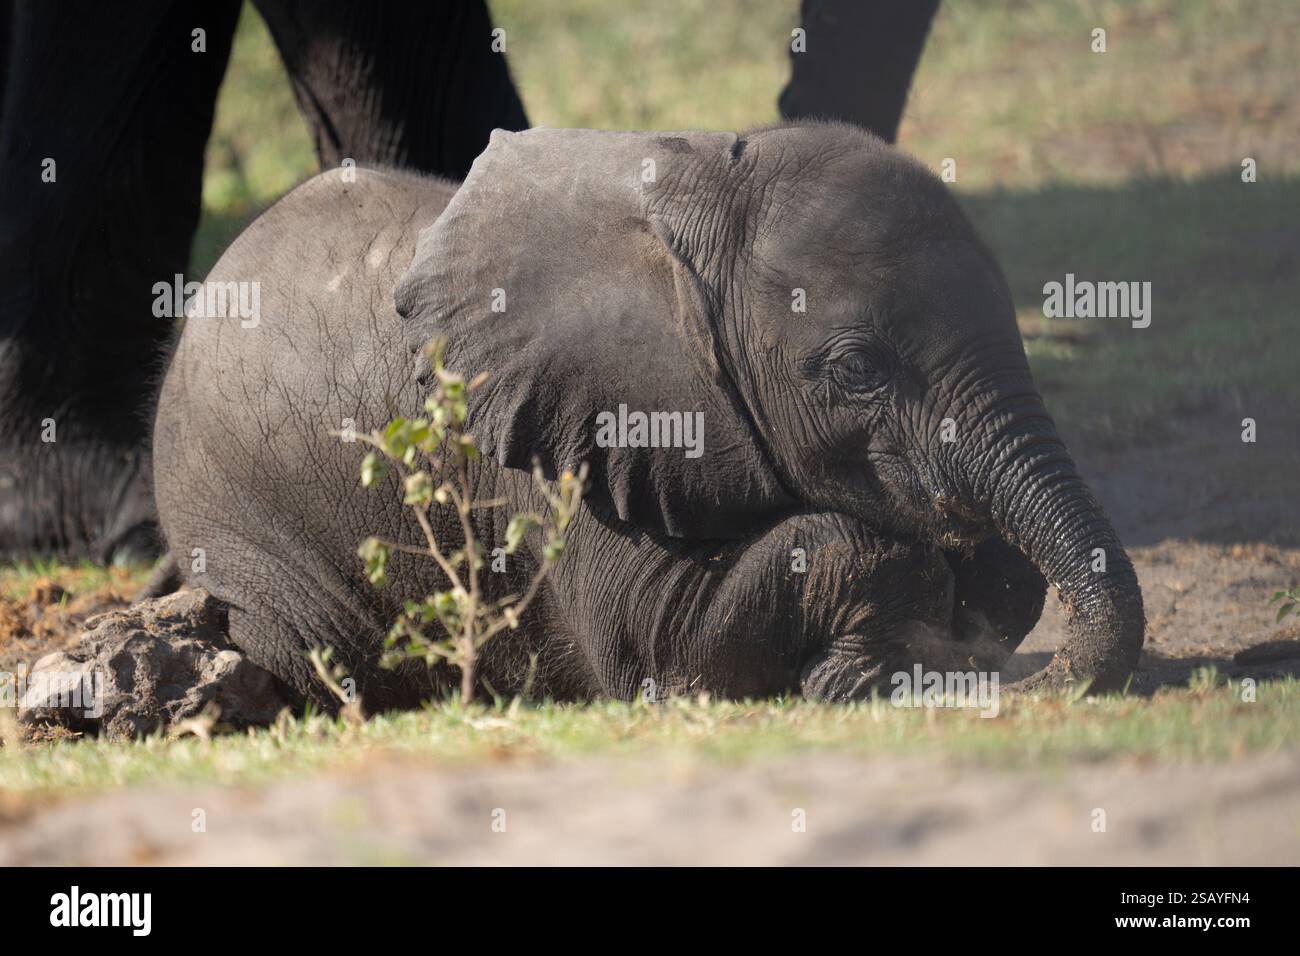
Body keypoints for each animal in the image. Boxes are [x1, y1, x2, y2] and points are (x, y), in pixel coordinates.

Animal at [152, 122, 1144, 710]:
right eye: (858, 371)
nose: (1043, 690)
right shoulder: (565, 443)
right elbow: (665, 647)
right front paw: (855, 668)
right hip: (247, 527)